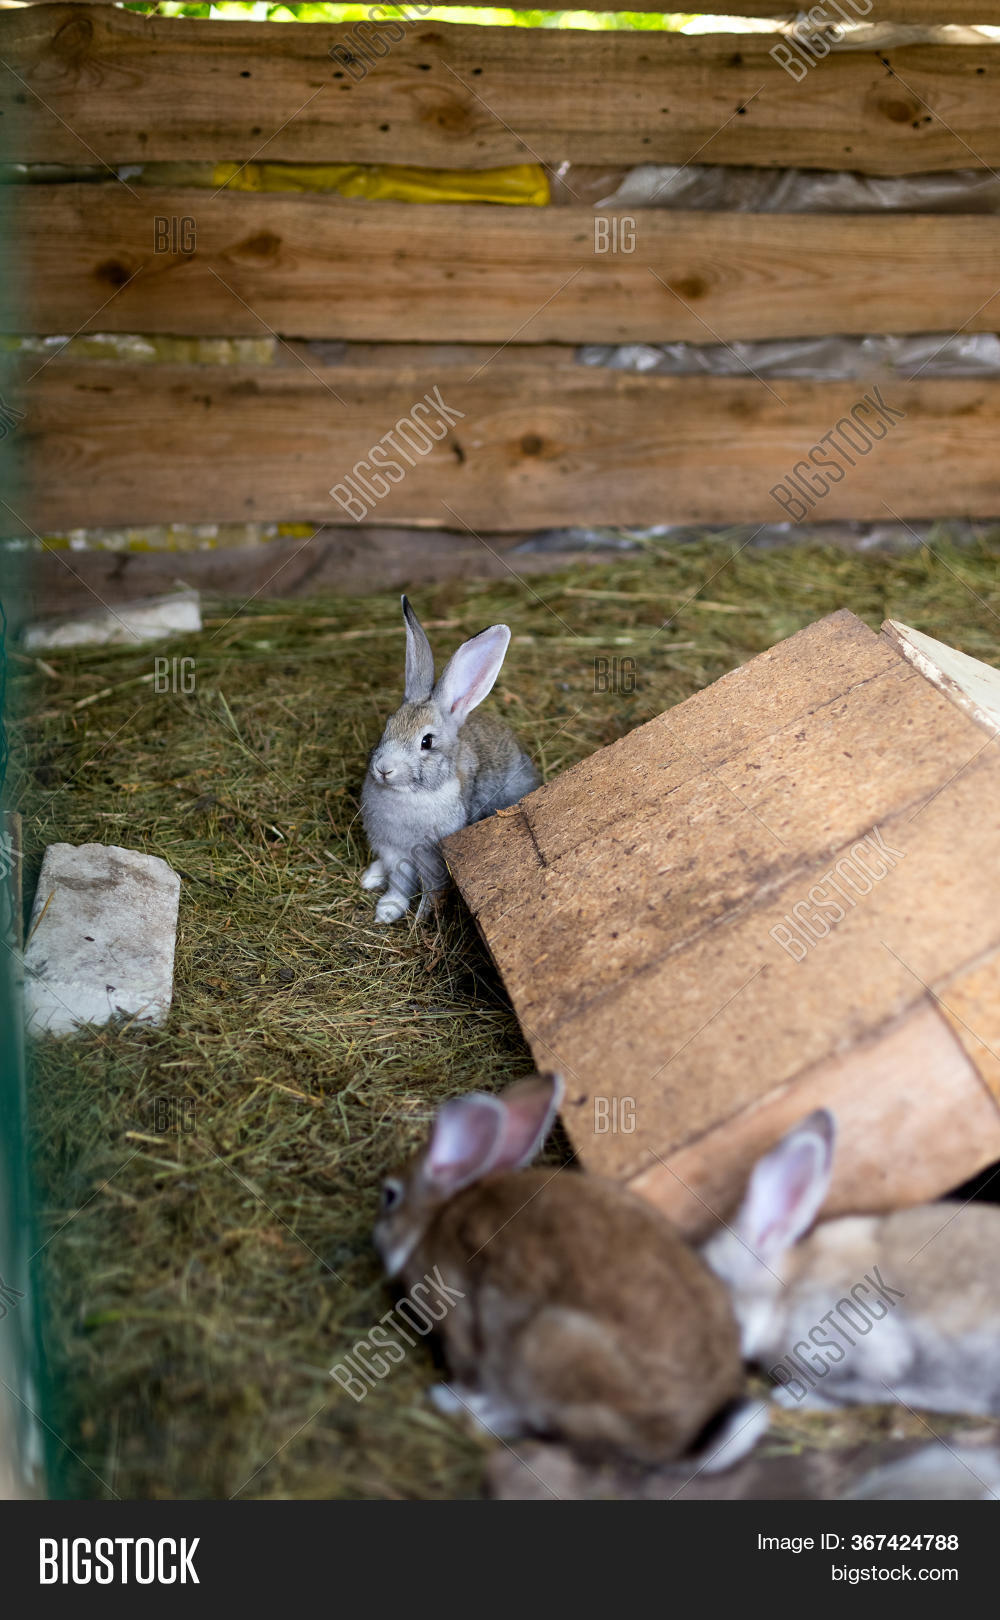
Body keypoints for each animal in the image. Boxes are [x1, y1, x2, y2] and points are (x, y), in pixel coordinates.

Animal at [360, 596, 538, 923]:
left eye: (427, 742)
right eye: (387, 726)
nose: (383, 769)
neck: (409, 795)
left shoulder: (431, 858)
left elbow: (429, 888)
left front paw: (419, 917)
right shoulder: (393, 850)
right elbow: (399, 883)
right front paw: (388, 910)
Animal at [374, 1071, 767, 1469]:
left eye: (389, 1196)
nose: (374, 1234)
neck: (434, 1219)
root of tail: (678, 1444)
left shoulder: (460, 1321)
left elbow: (471, 1373)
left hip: (547, 1354)